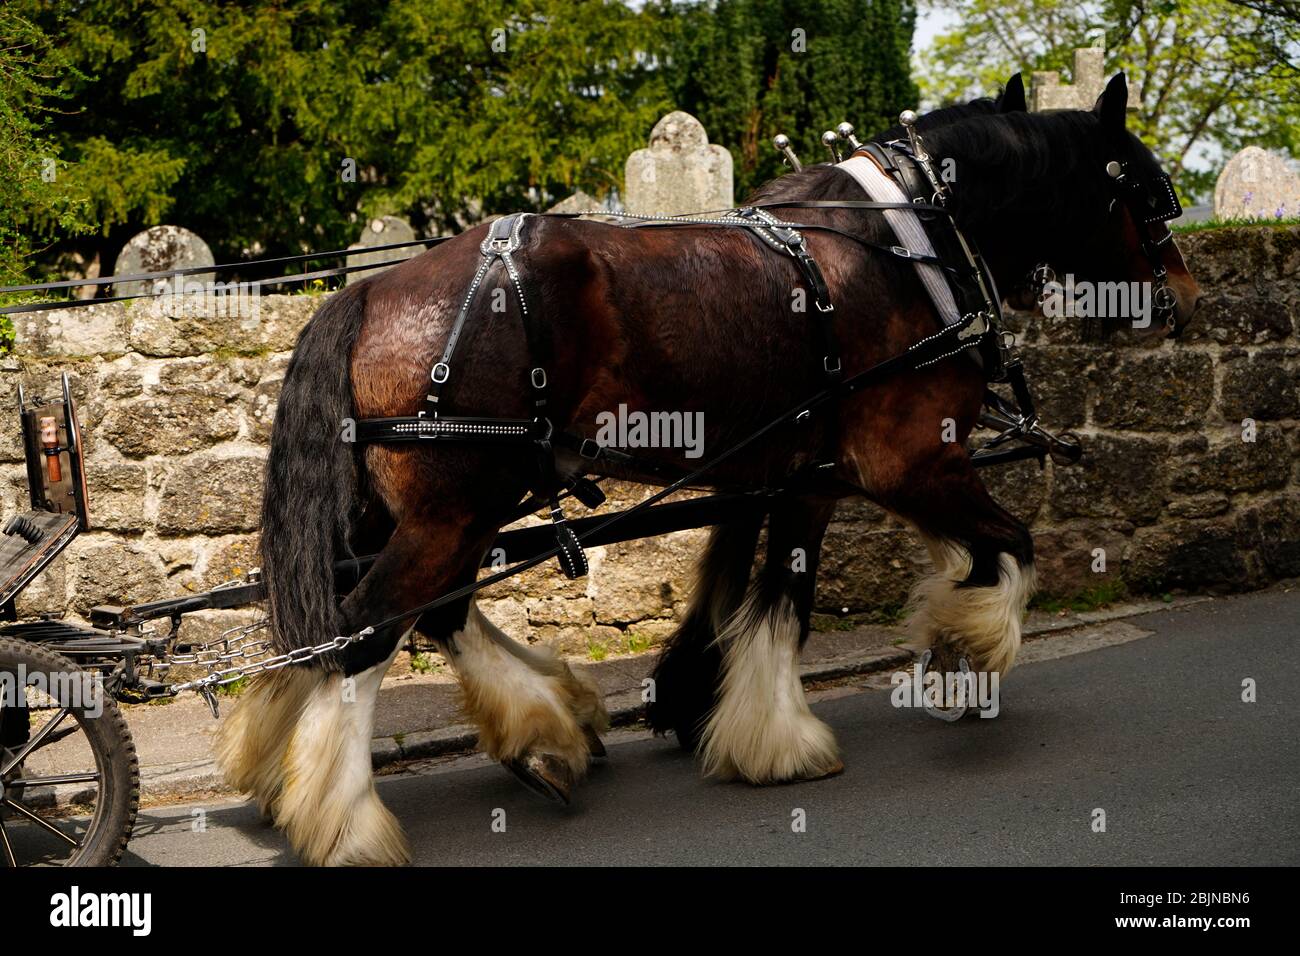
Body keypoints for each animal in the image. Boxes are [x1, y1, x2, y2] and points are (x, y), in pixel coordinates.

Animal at [216, 72, 1200, 866]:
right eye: (1153, 199)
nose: (1185, 301)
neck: (912, 248)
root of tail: (368, 289)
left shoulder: (794, 474)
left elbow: (759, 591)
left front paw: (731, 714)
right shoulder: (910, 461)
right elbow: (1005, 547)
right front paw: (966, 655)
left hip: (424, 510)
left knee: (400, 615)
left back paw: (528, 728)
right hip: (455, 507)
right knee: (368, 627)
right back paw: (348, 819)